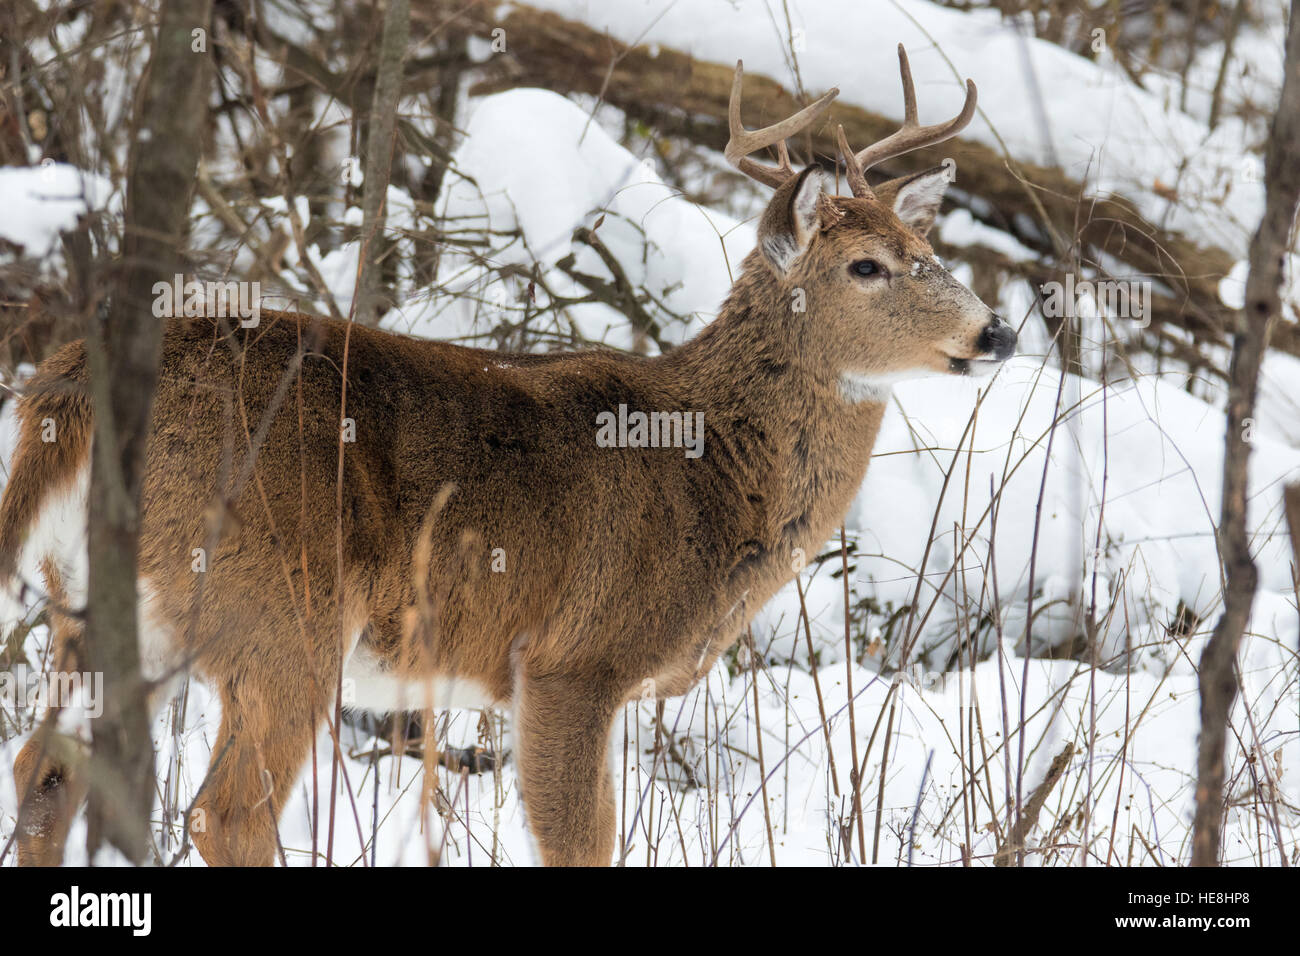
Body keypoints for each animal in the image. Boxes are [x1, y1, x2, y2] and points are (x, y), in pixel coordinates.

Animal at [1, 45, 1014, 867]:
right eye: (866, 266)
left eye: (925, 247)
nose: (998, 331)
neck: (714, 464)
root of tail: (65, 386)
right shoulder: (573, 655)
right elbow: (581, 843)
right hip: (278, 607)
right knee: (226, 813)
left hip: (101, 606)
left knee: (44, 768)